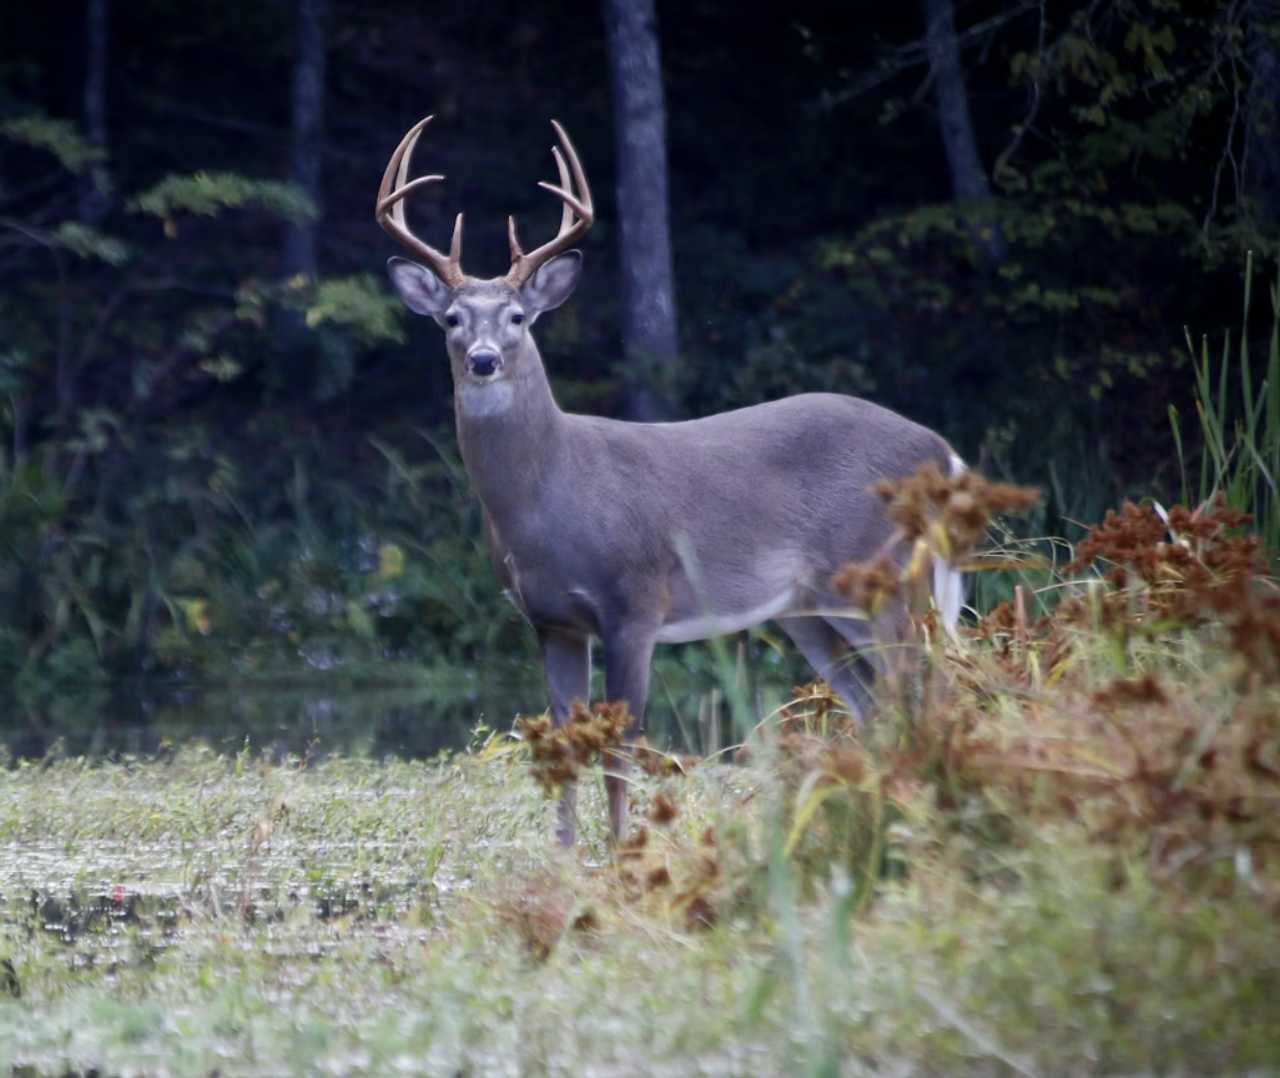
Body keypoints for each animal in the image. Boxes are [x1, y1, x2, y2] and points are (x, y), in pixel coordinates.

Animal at [376, 115, 964, 846]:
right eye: (453, 319)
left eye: (517, 317)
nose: (484, 359)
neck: (552, 496)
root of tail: (943, 451)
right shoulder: (551, 619)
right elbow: (564, 747)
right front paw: (564, 854)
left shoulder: (635, 601)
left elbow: (620, 750)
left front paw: (621, 848)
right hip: (809, 608)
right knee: (876, 700)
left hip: (887, 576)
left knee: (927, 685)